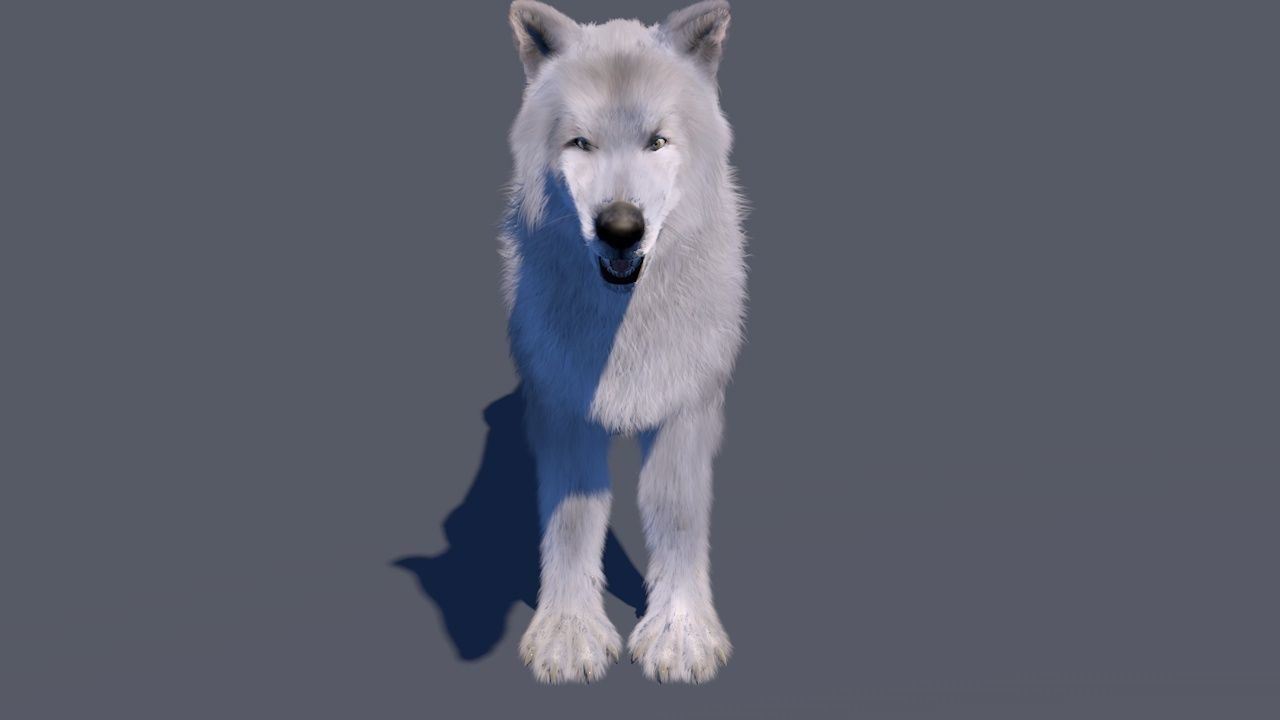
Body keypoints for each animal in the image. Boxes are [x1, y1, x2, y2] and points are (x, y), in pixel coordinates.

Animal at [498, 0, 747, 684]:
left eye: (657, 141)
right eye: (581, 143)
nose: (619, 227)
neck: (624, 328)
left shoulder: (688, 405)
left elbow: (678, 514)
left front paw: (680, 636)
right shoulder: (562, 408)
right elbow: (572, 517)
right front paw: (568, 636)